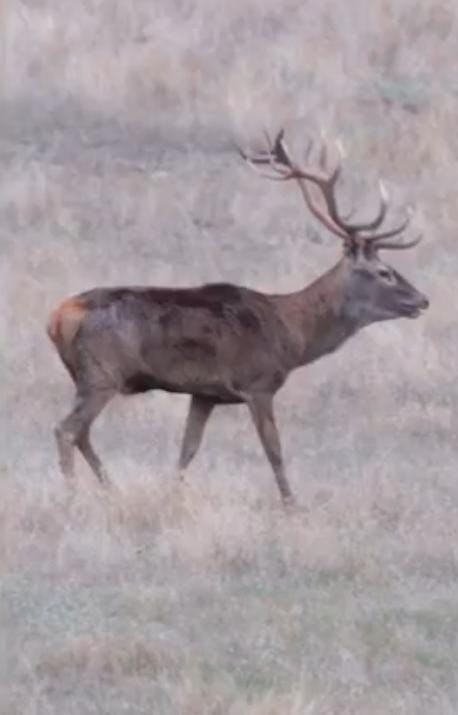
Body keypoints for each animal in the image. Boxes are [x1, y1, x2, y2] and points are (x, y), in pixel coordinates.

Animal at [47, 129, 429, 506]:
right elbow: (274, 450)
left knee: (82, 433)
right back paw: (73, 494)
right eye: (384, 272)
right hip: (102, 373)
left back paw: (109, 486)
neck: (291, 335)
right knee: (66, 430)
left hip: (88, 377)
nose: (422, 300)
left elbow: (188, 449)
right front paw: (291, 505)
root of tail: (59, 316)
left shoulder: (204, 393)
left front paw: (173, 493)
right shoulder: (257, 383)